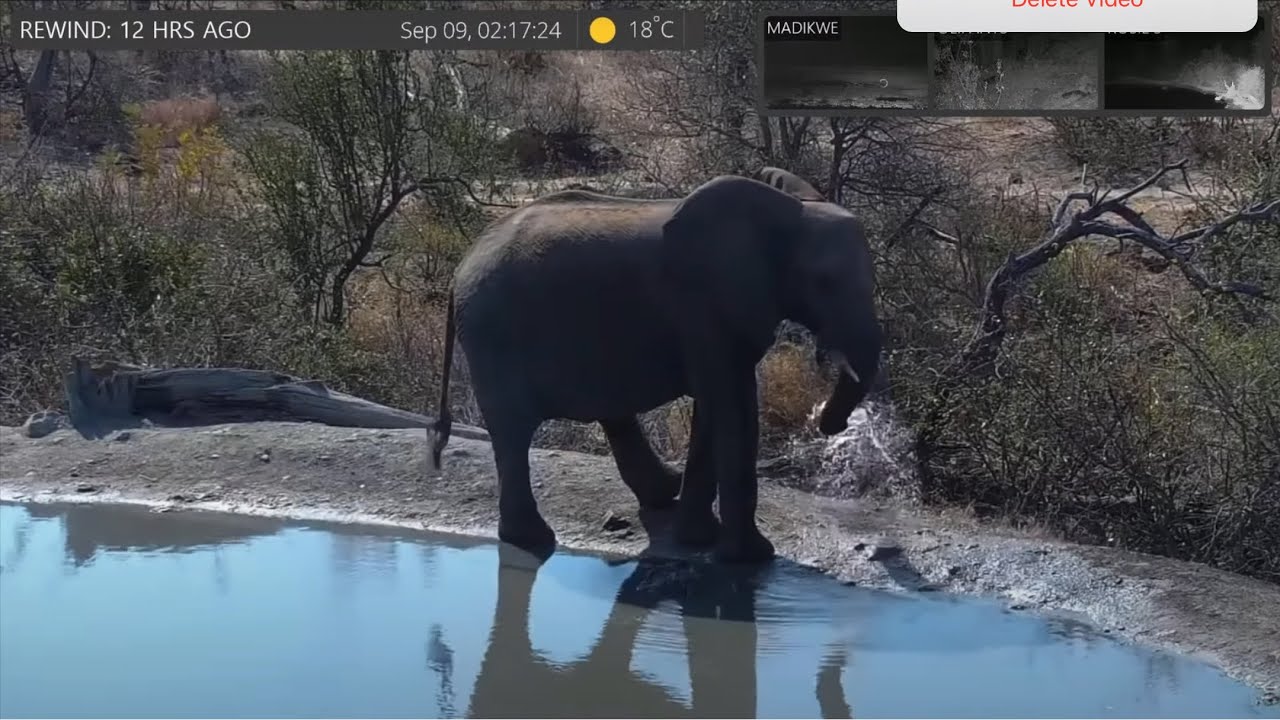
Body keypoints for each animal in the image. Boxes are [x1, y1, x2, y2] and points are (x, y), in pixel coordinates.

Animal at [429, 174, 883, 563]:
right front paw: (751, 557)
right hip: (494, 335)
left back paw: (664, 494)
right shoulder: (705, 302)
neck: (786, 213)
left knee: (609, 412)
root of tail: (458, 269)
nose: (830, 424)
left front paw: (699, 539)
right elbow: (733, 404)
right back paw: (533, 539)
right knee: (513, 432)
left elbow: (716, 404)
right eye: (824, 281)